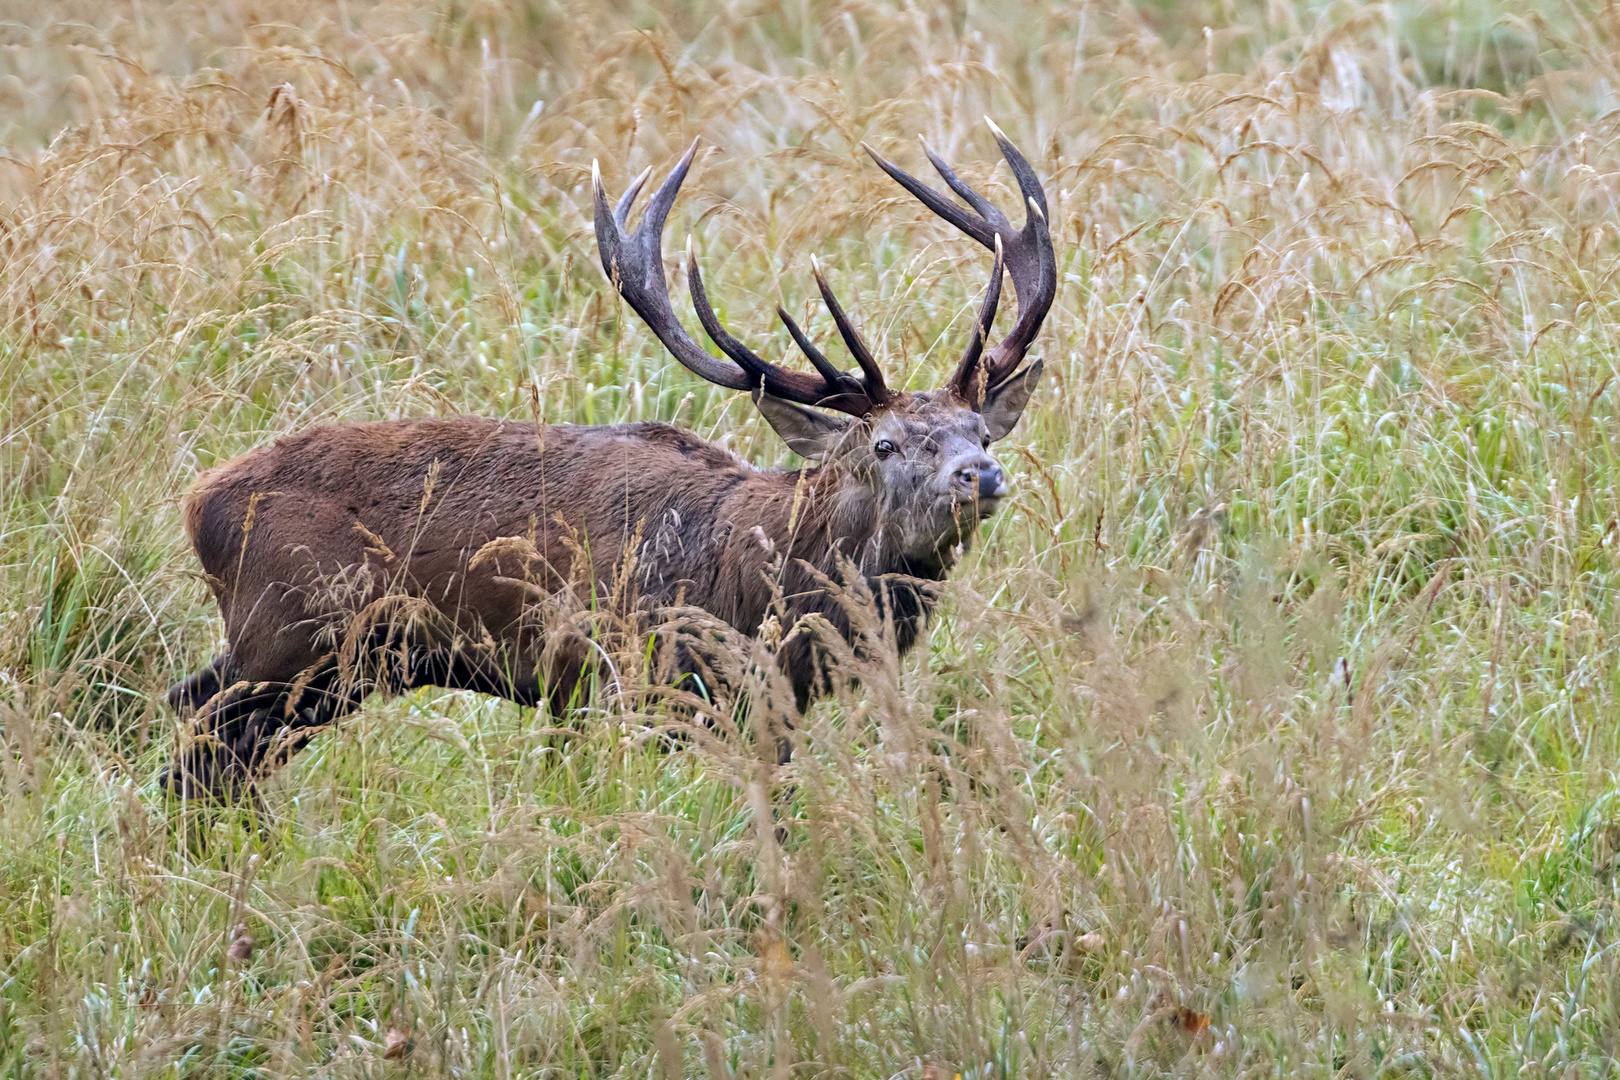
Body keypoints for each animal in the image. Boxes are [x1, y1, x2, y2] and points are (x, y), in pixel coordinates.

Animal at [161, 122, 1055, 799]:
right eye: (884, 444)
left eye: (981, 430)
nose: (979, 475)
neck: (758, 579)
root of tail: (201, 504)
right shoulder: (631, 679)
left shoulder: (767, 711)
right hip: (287, 634)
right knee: (194, 726)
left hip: (330, 666)